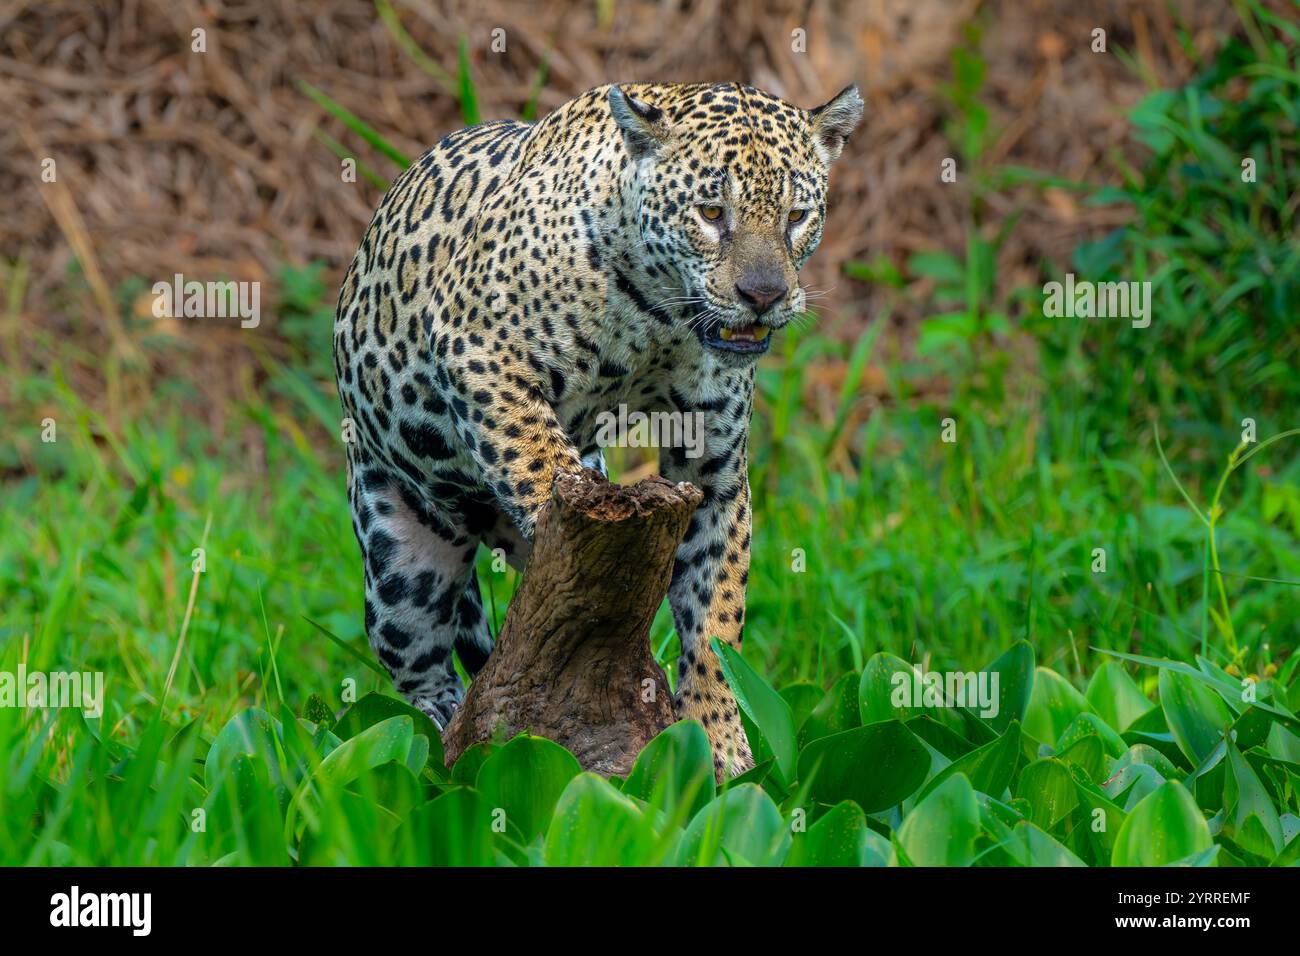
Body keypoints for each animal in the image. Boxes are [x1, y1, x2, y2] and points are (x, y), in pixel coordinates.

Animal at [332, 81, 863, 776]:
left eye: (796, 217)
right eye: (712, 212)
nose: (765, 295)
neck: (659, 317)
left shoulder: (714, 470)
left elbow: (716, 622)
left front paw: (720, 749)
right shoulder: (477, 351)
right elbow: (537, 456)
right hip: (401, 569)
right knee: (417, 677)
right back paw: (441, 739)